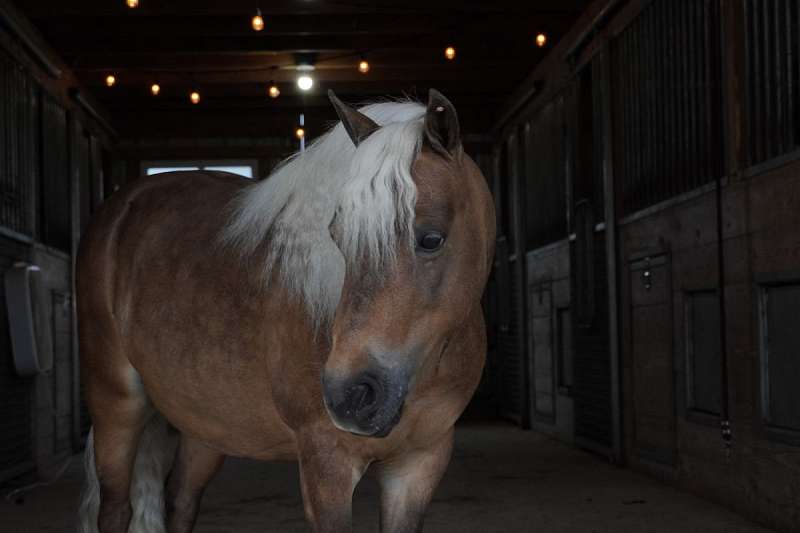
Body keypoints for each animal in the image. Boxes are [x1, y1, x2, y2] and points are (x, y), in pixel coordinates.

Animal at [76, 89, 495, 533]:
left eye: (432, 239)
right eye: (337, 237)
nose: (349, 395)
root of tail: (123, 206)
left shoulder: (418, 466)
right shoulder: (326, 465)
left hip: (207, 424)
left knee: (181, 499)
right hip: (116, 404)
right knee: (115, 508)